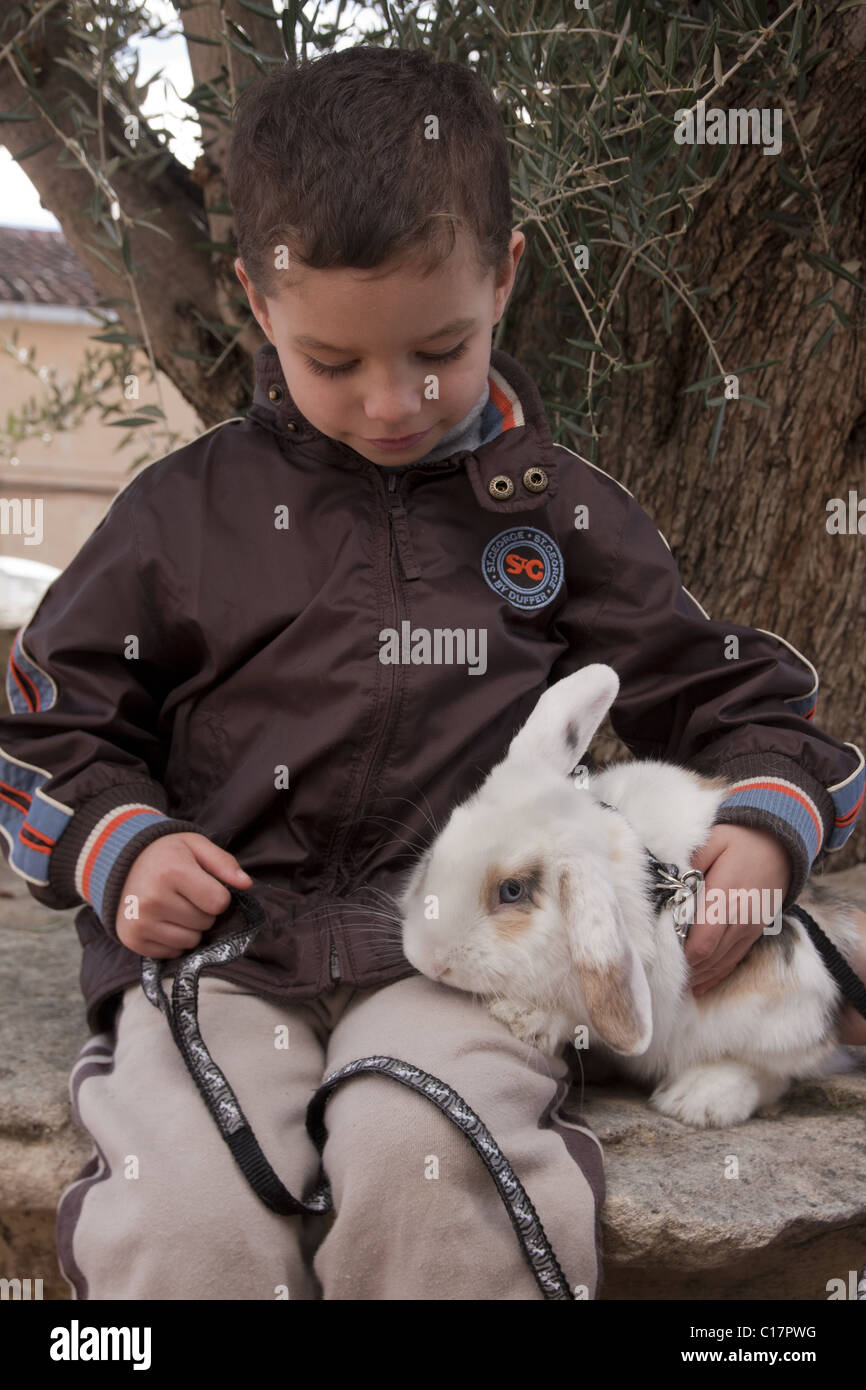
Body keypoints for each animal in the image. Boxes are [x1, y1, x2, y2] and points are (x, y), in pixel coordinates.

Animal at [398, 662, 864, 1128]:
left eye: (512, 891)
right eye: (438, 849)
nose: (428, 960)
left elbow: (581, 1014)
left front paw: (522, 1017)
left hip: (770, 1014)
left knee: (776, 1070)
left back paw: (697, 1099)